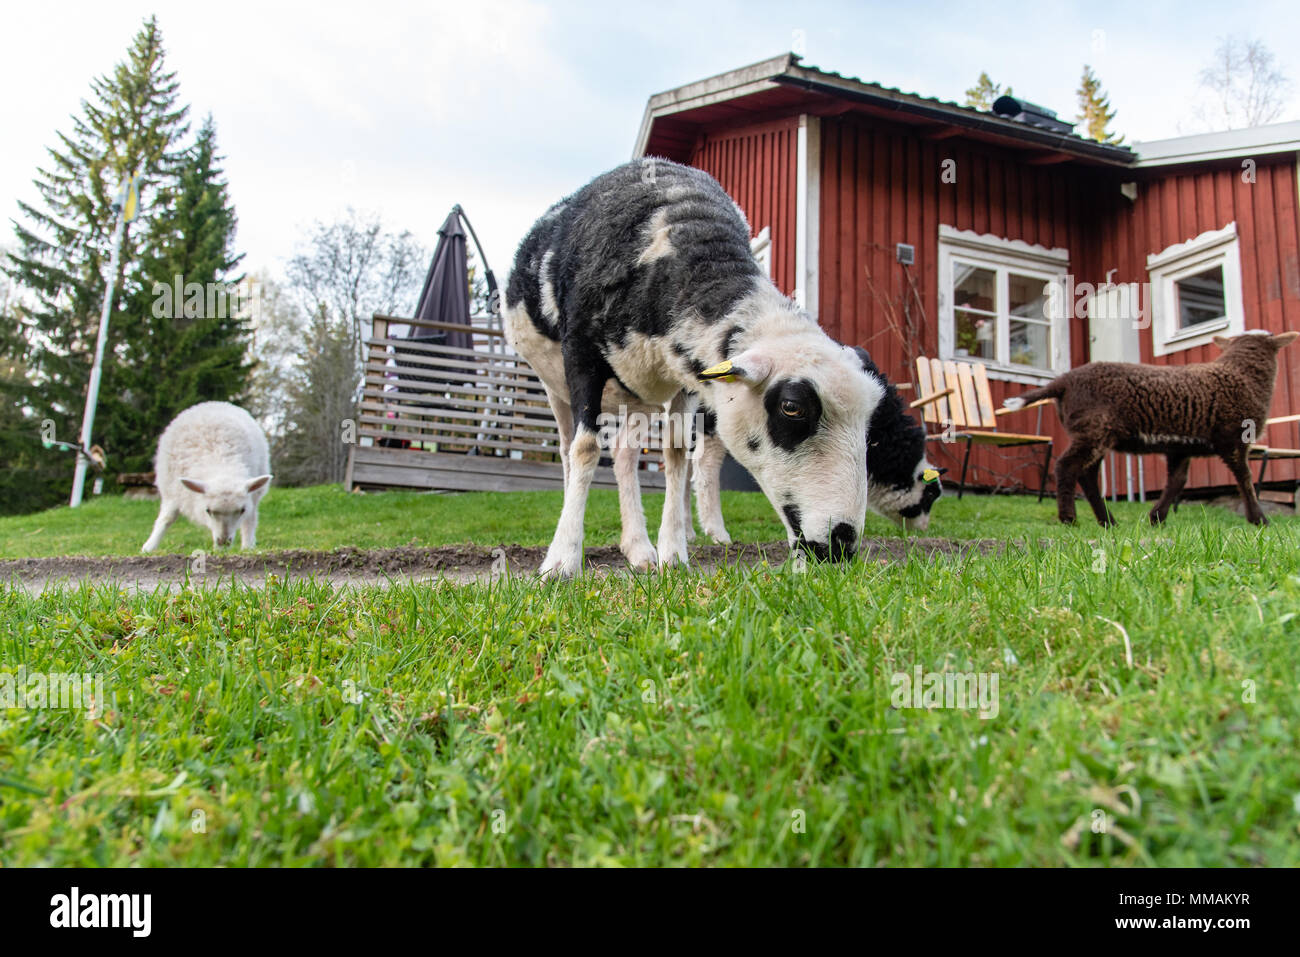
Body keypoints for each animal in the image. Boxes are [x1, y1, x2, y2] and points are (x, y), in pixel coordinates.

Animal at [141, 401, 272, 552]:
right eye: (208, 510)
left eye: (241, 510)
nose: (223, 542)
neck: (220, 461)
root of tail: (216, 403)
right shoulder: (172, 491)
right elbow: (167, 518)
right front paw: (149, 547)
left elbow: (250, 518)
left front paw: (246, 547)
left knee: (251, 518)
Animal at [504, 159, 884, 576]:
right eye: (791, 407)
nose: (840, 545)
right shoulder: (581, 357)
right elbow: (586, 448)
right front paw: (562, 561)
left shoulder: (685, 378)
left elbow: (675, 453)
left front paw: (672, 554)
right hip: (555, 384)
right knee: (567, 448)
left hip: (638, 393)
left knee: (624, 454)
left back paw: (638, 548)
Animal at [1003, 331, 1298, 527]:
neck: (1241, 375)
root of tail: (1064, 381)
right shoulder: (1235, 438)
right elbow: (1245, 479)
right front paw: (1260, 520)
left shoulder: (1181, 447)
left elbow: (1177, 481)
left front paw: (1157, 517)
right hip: (1094, 428)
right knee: (1067, 466)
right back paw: (1070, 518)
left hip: (1097, 431)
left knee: (1086, 474)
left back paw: (1108, 521)